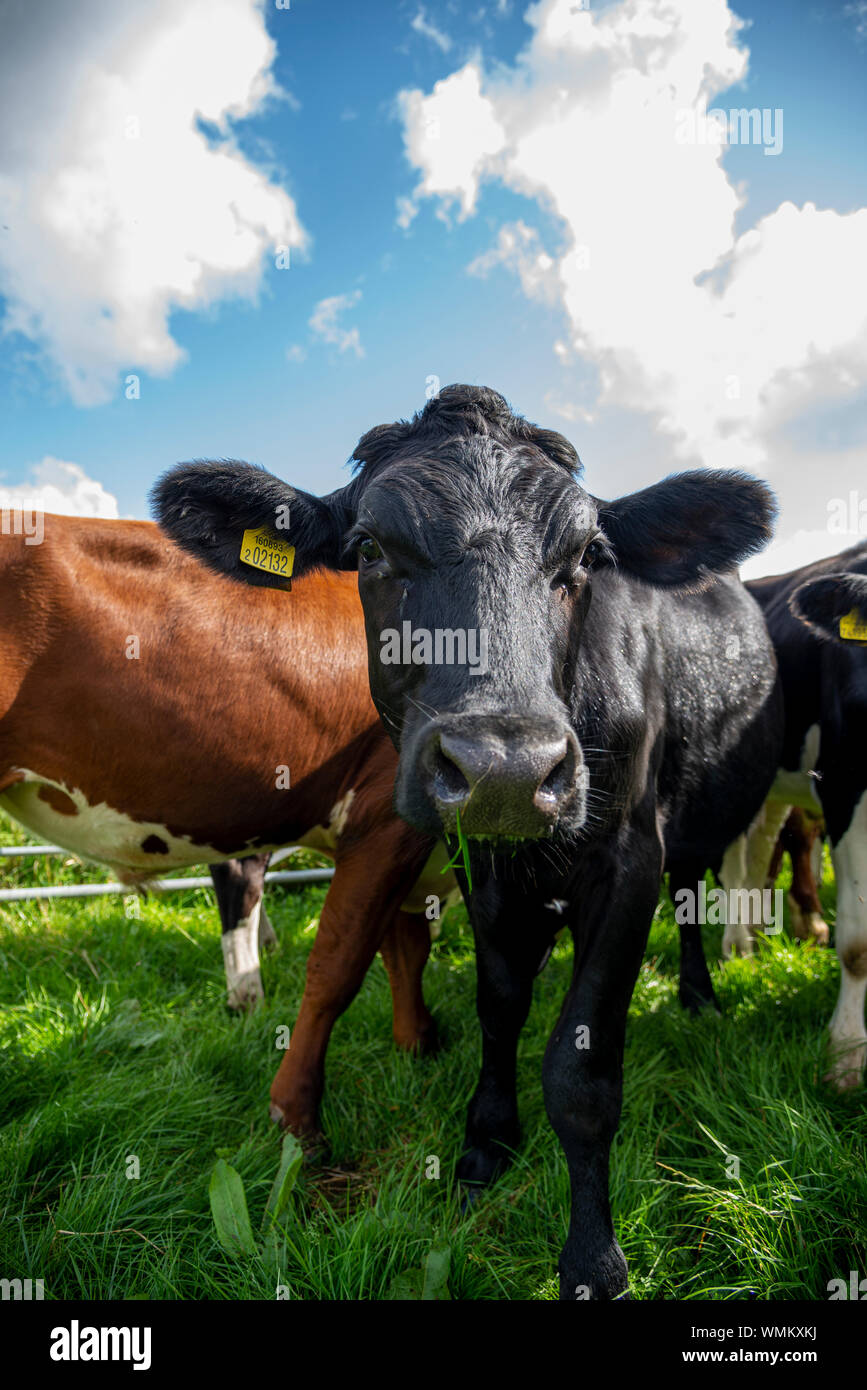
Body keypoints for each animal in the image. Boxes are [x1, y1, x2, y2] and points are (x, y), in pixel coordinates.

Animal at [154, 383, 782, 1300]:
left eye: (587, 555)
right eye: (369, 549)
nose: (505, 768)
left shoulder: (628, 858)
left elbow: (582, 1072)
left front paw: (592, 1259)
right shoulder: (479, 864)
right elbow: (500, 1006)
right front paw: (486, 1141)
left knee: (694, 894)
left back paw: (699, 996)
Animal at [717, 554, 867, 1090]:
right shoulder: (846, 788)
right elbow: (857, 943)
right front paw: (846, 1056)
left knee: (762, 853)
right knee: (736, 868)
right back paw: (738, 946)